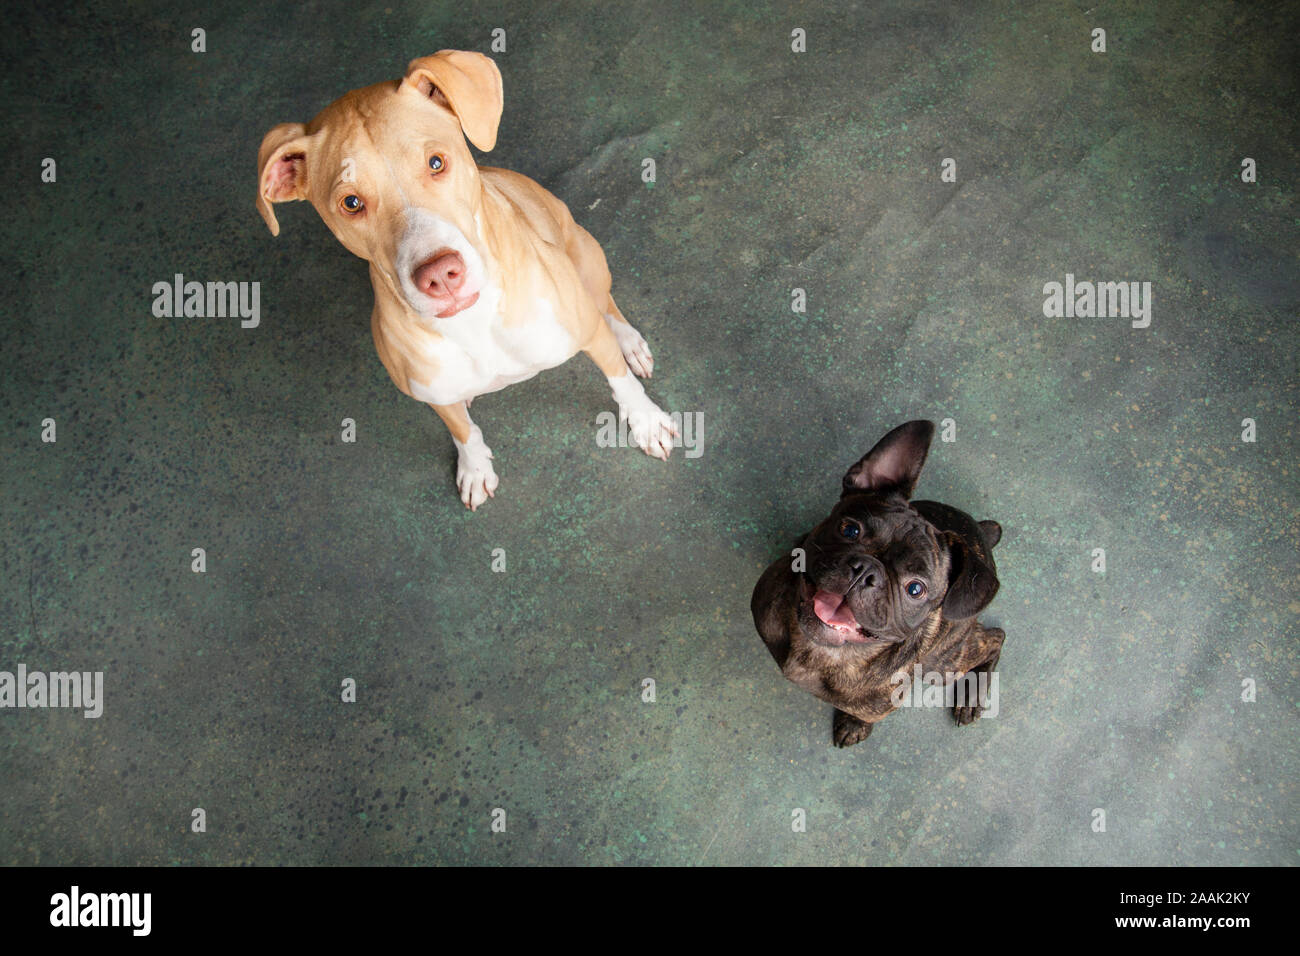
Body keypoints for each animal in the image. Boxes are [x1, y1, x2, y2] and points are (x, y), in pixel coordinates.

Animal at [254, 50, 681, 509]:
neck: (475, 322)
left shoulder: (587, 333)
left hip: (587, 260)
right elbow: (461, 429)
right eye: (351, 203)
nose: (440, 275)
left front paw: (647, 422)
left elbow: (621, 383)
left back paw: (630, 343)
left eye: (436, 163)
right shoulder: (435, 394)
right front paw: (475, 468)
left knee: (608, 309)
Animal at [754, 421, 1003, 749]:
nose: (866, 571)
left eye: (915, 589)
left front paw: (854, 724)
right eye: (850, 529)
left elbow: (863, 715)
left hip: (943, 665)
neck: (821, 651)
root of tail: (981, 536)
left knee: (995, 639)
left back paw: (972, 697)